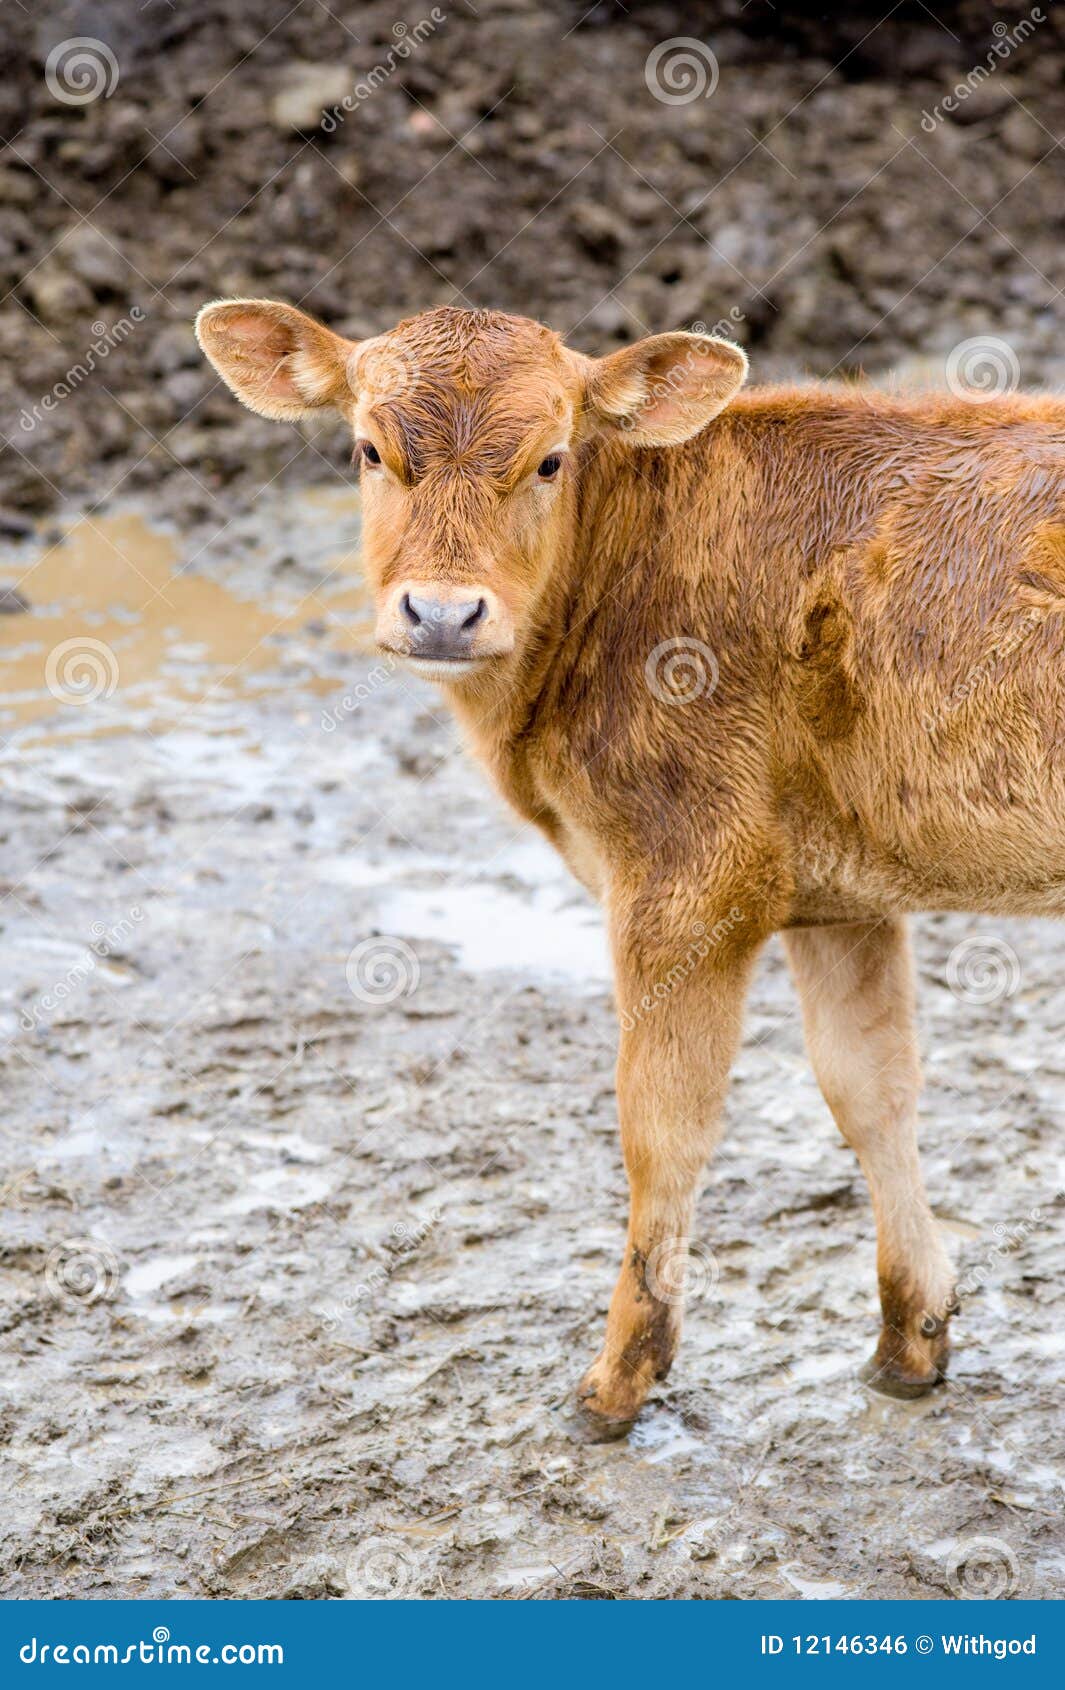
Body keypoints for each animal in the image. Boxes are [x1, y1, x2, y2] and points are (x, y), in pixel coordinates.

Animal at [196, 296, 1065, 1436]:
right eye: (368, 451)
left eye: (552, 458)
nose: (442, 613)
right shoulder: (839, 895)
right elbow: (870, 1089)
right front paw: (910, 1338)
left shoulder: (686, 879)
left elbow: (661, 1126)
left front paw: (618, 1377)